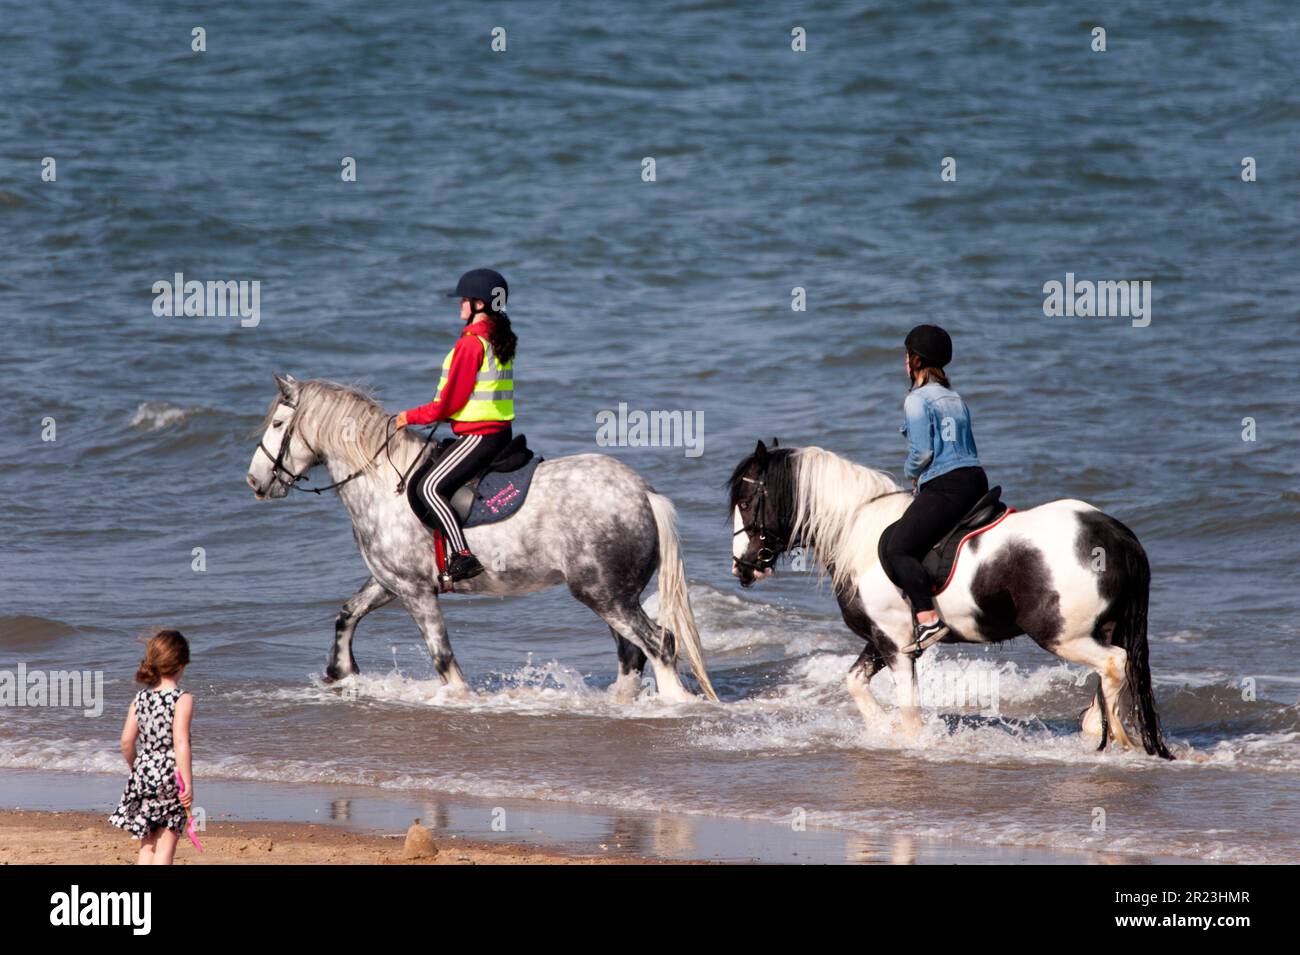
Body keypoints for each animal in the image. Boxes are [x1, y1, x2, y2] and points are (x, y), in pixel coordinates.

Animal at [244, 374, 718, 703]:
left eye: (279, 422)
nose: (255, 481)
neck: (383, 483)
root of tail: (643, 494)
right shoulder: (391, 582)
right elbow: (347, 614)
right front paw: (340, 672)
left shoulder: (416, 592)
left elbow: (441, 654)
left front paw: (456, 697)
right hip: (613, 595)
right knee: (633, 652)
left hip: (605, 594)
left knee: (658, 644)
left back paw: (672, 702)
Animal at [727, 440, 1172, 758]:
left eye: (746, 502)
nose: (742, 567)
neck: (857, 531)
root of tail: (1113, 535)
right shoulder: (887, 639)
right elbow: (854, 682)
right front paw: (881, 732)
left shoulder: (894, 643)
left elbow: (908, 705)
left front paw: (909, 742)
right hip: (1100, 628)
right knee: (1113, 671)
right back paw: (1099, 729)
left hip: (1064, 635)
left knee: (1114, 664)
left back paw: (1112, 736)